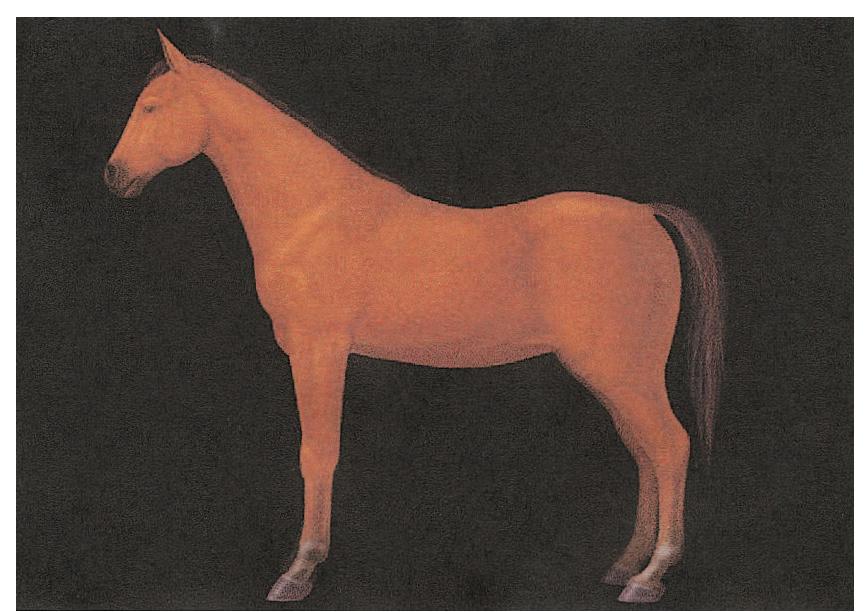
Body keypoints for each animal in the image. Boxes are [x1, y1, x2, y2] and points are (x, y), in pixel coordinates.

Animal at [104, 30, 724, 605]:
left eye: (152, 106)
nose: (114, 175)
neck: (314, 214)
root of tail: (646, 215)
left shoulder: (318, 349)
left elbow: (318, 454)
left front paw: (299, 571)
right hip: (618, 376)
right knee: (645, 453)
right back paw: (625, 565)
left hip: (622, 372)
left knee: (669, 447)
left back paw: (650, 575)